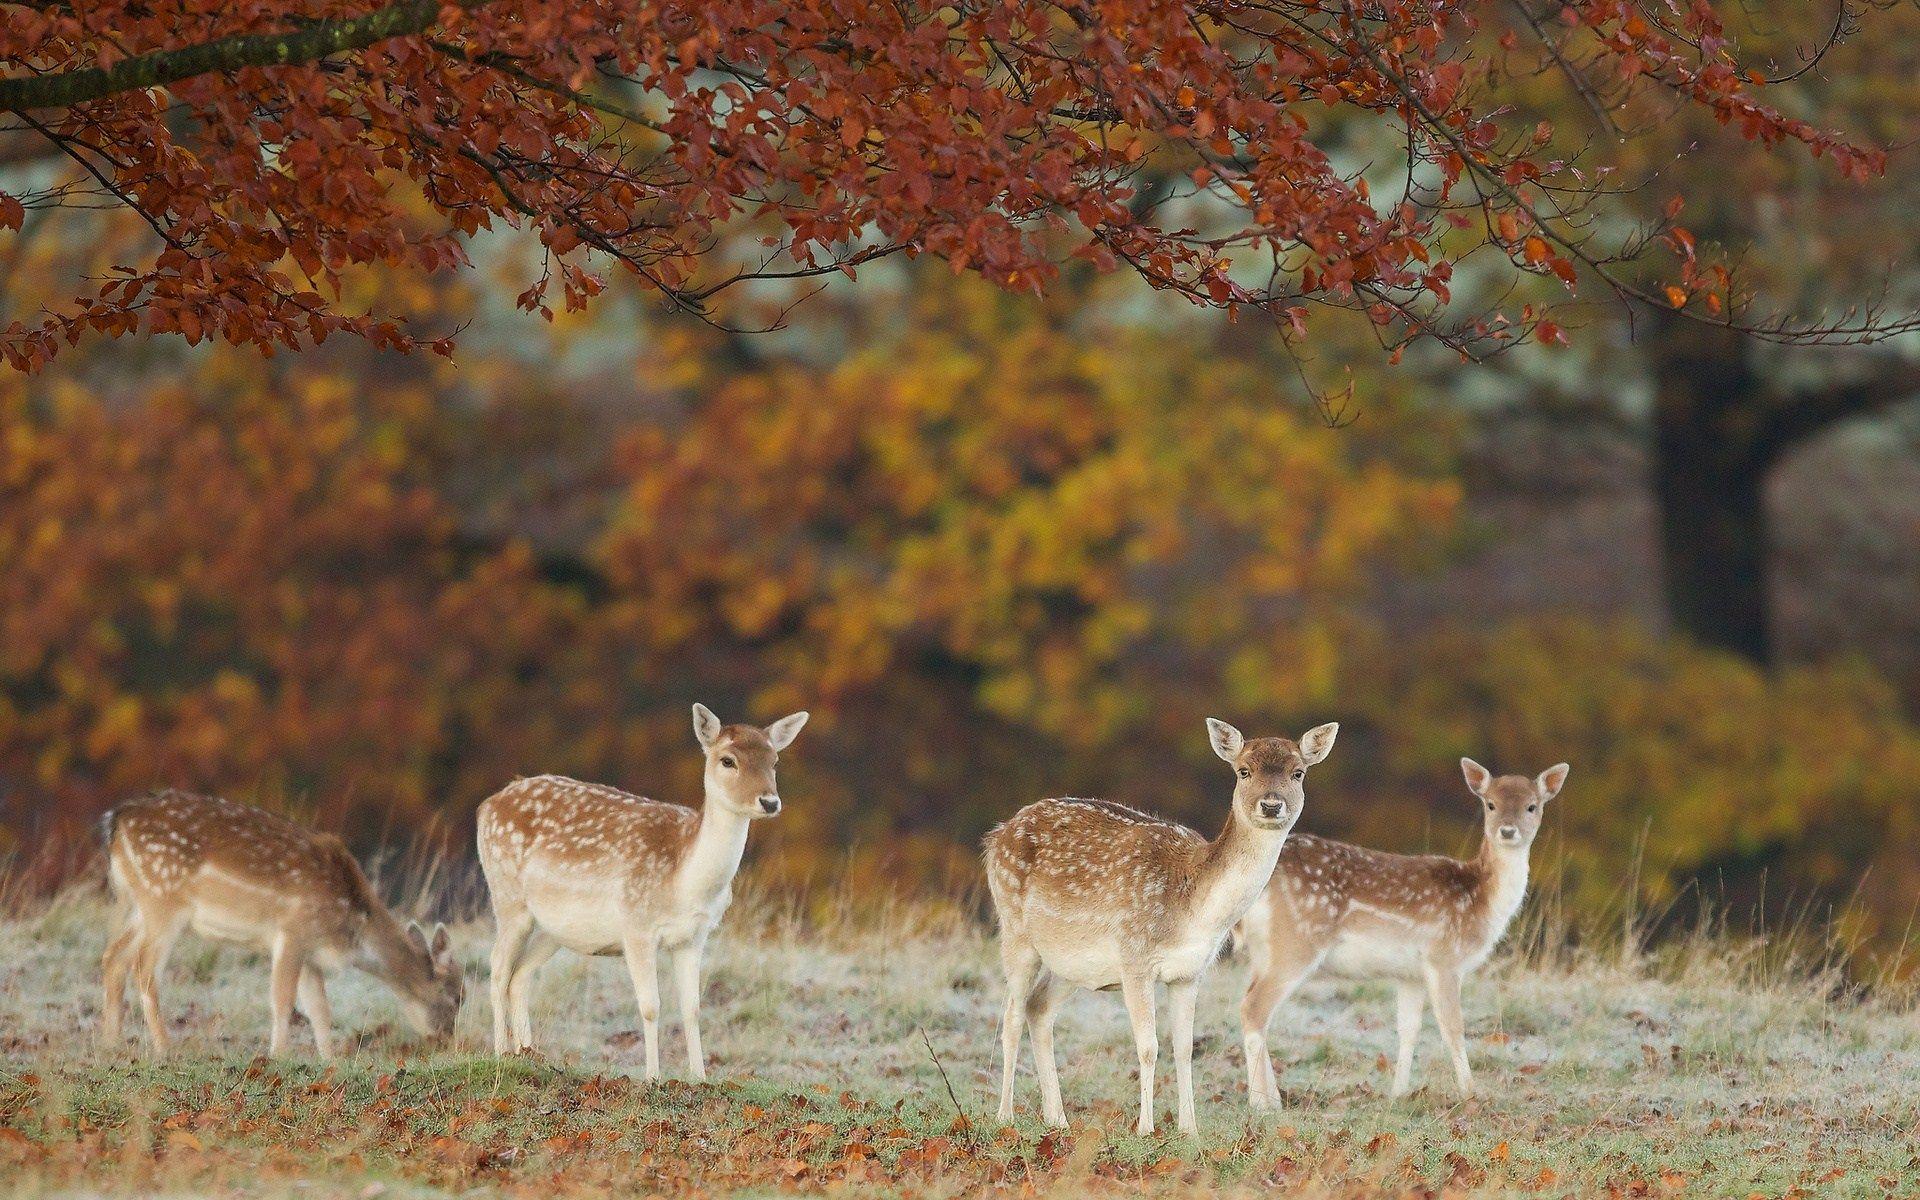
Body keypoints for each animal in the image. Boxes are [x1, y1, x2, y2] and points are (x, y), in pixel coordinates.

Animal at [100, 790, 464, 1060]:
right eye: (457, 997)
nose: (447, 1039)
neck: (351, 919)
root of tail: (118, 820)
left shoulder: (312, 950)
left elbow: (319, 1007)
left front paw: (330, 1059)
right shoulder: (293, 931)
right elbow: (283, 999)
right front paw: (278, 1056)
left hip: (137, 905)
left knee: (113, 956)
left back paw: (113, 1044)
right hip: (162, 900)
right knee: (144, 967)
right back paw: (165, 1048)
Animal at [475, 703, 807, 1075]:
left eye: (774, 760)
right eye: (727, 760)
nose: (769, 802)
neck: (684, 882)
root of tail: (486, 806)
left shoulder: (694, 935)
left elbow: (692, 1008)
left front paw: (700, 1077)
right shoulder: (635, 926)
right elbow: (651, 1006)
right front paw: (652, 1077)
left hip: (554, 929)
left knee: (520, 975)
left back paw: (529, 1055)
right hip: (507, 898)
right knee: (497, 969)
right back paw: (501, 1054)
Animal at [983, 718, 1337, 1136]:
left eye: (1298, 773)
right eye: (1243, 771)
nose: (1270, 804)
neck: (1193, 910)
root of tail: (997, 834)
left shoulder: (1190, 972)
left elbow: (1183, 1047)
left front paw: (1189, 1129)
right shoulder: (1135, 957)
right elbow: (1148, 1046)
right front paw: (1145, 1128)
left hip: (1071, 963)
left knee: (1038, 1008)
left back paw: (1058, 1119)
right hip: (1014, 929)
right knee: (1011, 1014)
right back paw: (1005, 1116)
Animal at [1235, 758, 1570, 1107]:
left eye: (1532, 806)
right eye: (1490, 804)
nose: (1507, 830)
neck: (1481, 901)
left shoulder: (1410, 974)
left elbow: (1408, 1030)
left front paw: (1398, 1093)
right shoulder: (1443, 958)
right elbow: (1453, 1026)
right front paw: (1470, 1093)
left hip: (1264, 952)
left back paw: (1272, 1097)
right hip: (1296, 941)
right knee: (1253, 1008)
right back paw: (1262, 1104)